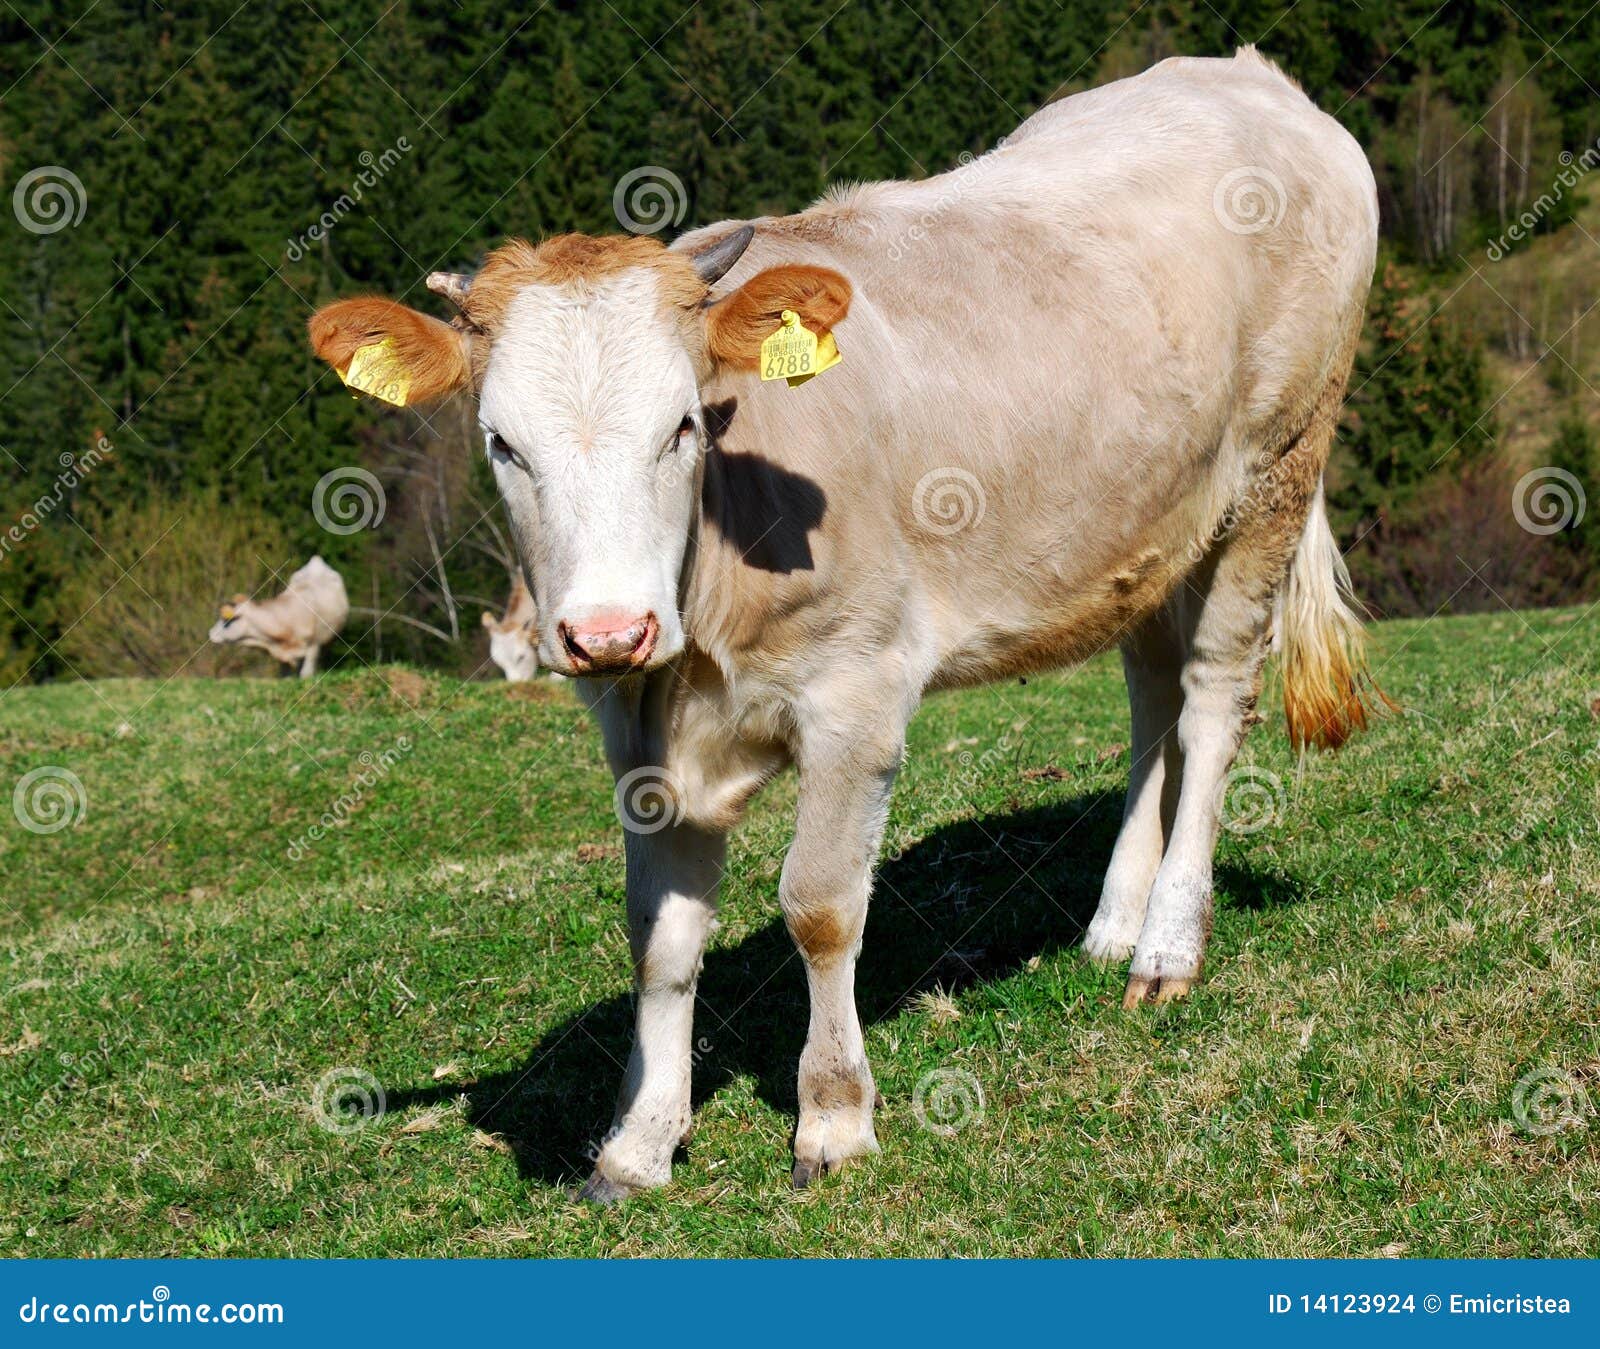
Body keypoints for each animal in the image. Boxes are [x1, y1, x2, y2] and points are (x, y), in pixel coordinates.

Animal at [208, 556, 349, 677]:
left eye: (227, 620)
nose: (211, 633)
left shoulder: (313, 645)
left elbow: (306, 674)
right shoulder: (282, 654)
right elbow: (285, 675)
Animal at [308, 49, 1383, 1199]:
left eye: (680, 426)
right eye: (502, 442)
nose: (606, 630)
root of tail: (1246, 76)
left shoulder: (856, 692)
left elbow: (820, 906)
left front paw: (831, 1116)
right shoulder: (636, 728)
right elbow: (658, 937)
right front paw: (639, 1140)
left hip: (1277, 465)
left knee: (1215, 697)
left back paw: (1168, 946)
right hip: (1144, 524)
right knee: (1153, 700)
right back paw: (1110, 923)